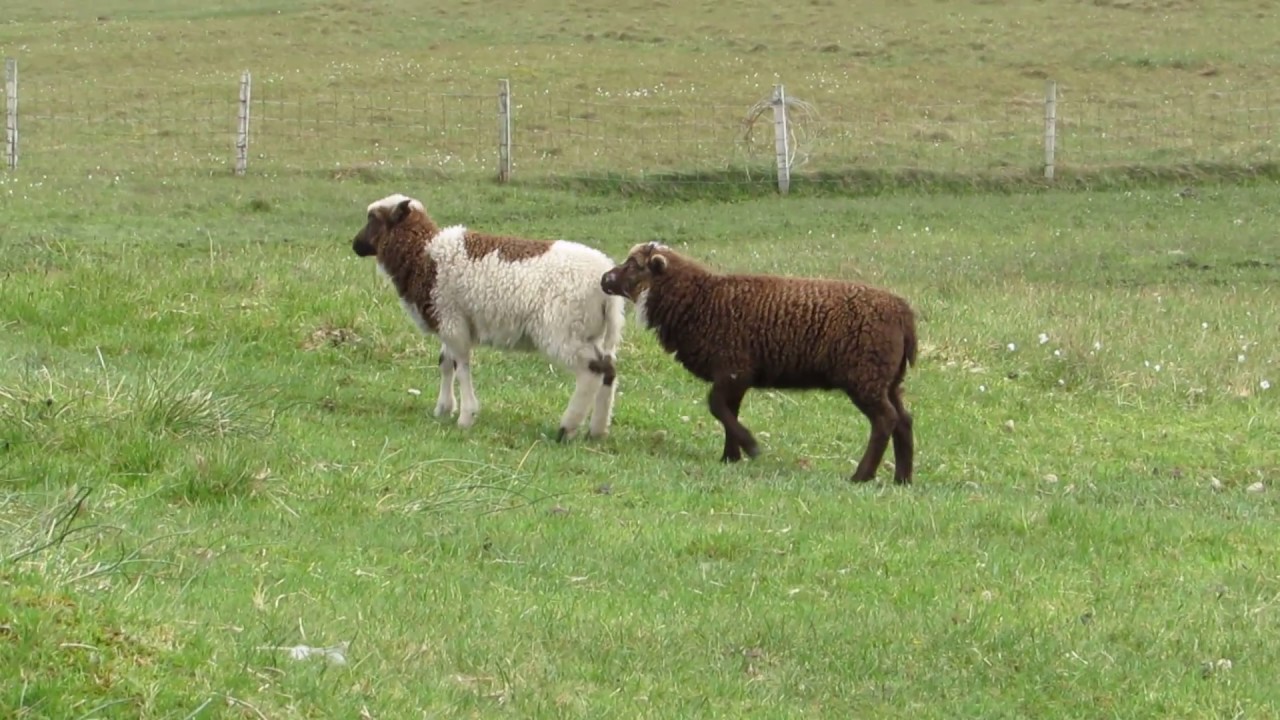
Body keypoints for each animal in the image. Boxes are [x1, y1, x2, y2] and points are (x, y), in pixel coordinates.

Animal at [351, 193, 626, 441]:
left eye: (373, 218)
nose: (354, 245)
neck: (423, 254)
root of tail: (605, 280)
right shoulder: (450, 320)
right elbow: (445, 362)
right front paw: (443, 409)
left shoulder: (452, 321)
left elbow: (461, 366)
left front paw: (465, 416)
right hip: (588, 332)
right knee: (608, 369)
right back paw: (597, 430)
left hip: (562, 329)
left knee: (592, 371)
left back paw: (567, 428)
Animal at [600, 241, 918, 484]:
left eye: (633, 264)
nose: (605, 279)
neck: (699, 299)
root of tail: (902, 313)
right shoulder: (737, 377)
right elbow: (729, 410)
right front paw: (730, 457)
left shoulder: (732, 370)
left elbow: (717, 406)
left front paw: (750, 447)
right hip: (888, 379)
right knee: (904, 420)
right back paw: (902, 479)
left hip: (866, 375)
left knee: (885, 420)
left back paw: (862, 476)